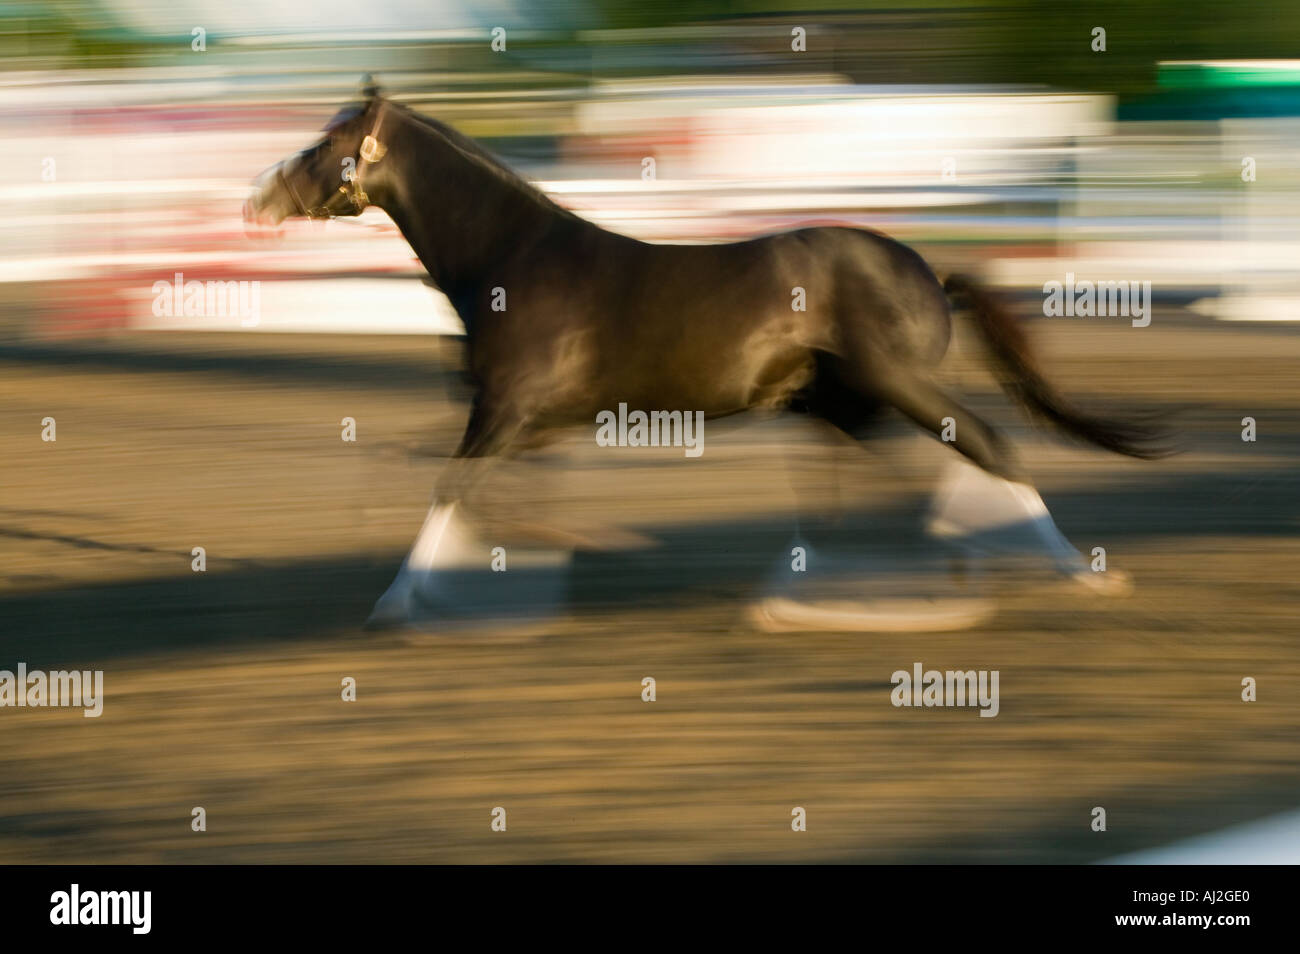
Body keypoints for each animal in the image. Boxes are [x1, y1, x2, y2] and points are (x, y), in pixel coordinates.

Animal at [244, 80, 1166, 629]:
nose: (257, 199)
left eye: (324, 144)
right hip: (841, 406)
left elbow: (447, 487)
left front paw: (397, 598)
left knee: (986, 446)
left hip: (891, 387)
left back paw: (1075, 575)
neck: (508, 264)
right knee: (881, 488)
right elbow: (452, 486)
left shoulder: (504, 413)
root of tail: (925, 270)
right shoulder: (529, 424)